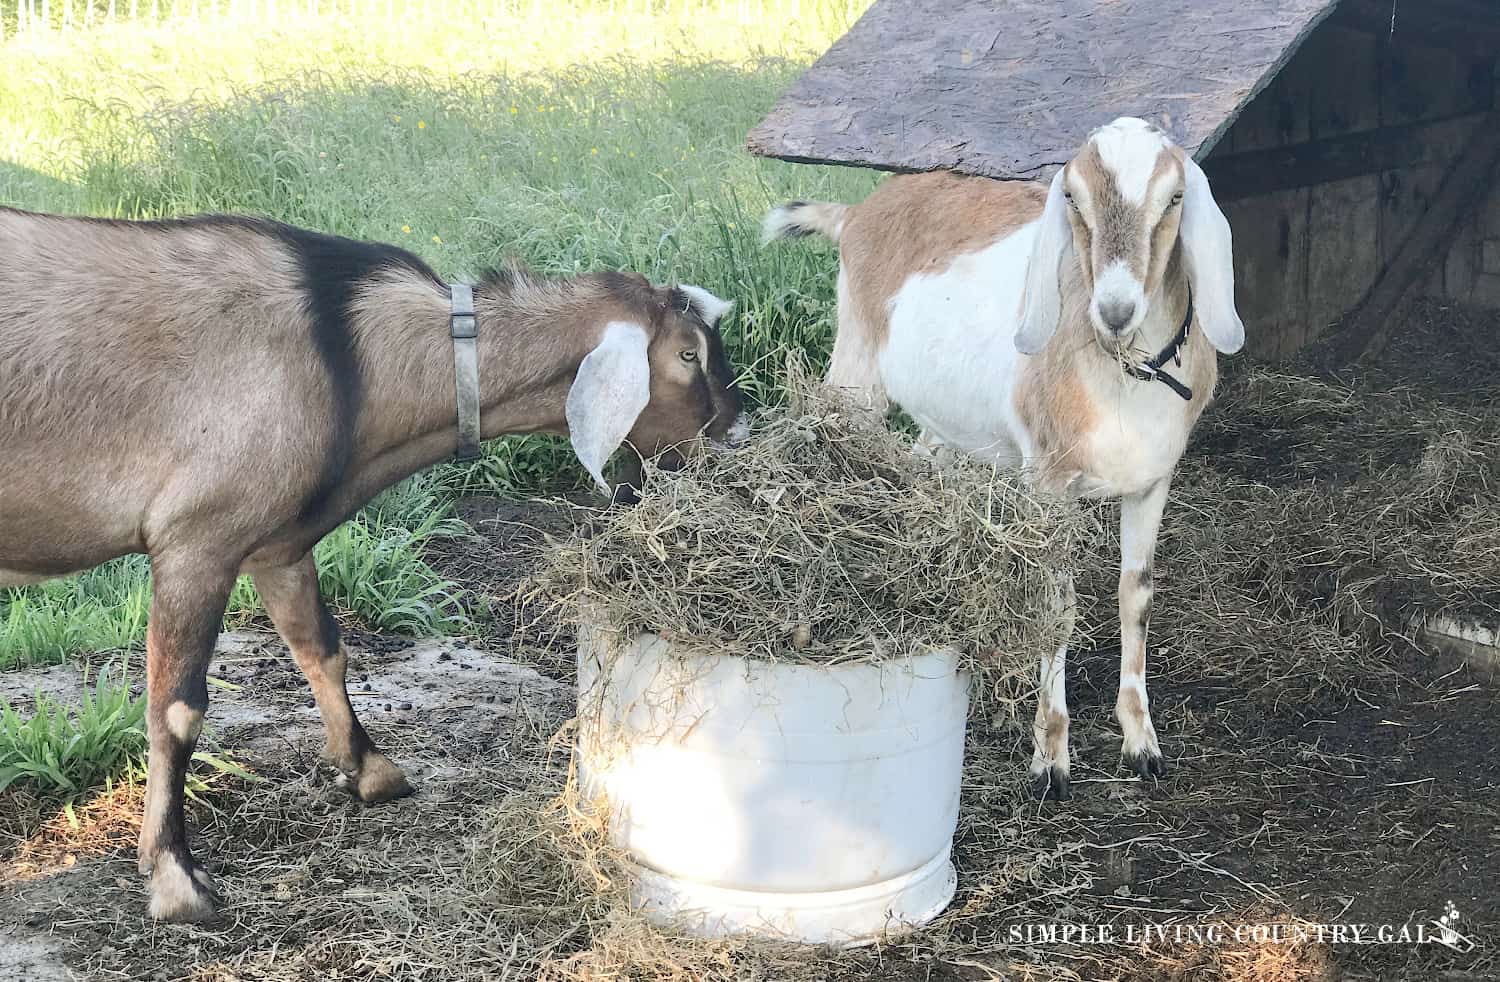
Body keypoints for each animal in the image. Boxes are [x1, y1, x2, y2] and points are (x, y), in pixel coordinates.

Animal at [0, 206, 745, 921]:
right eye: (687, 353)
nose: (738, 438)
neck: (347, 354)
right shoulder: (196, 538)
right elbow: (177, 711)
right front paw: (177, 880)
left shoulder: (279, 544)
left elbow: (323, 651)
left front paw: (371, 771)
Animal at [764, 117, 1243, 801]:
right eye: (1072, 197)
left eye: (1174, 196)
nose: (1115, 310)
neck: (1124, 374)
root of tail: (857, 212)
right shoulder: (1048, 481)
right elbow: (1056, 606)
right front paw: (1050, 759)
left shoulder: (1153, 481)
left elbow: (1137, 596)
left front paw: (1142, 743)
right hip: (855, 372)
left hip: (941, 423)